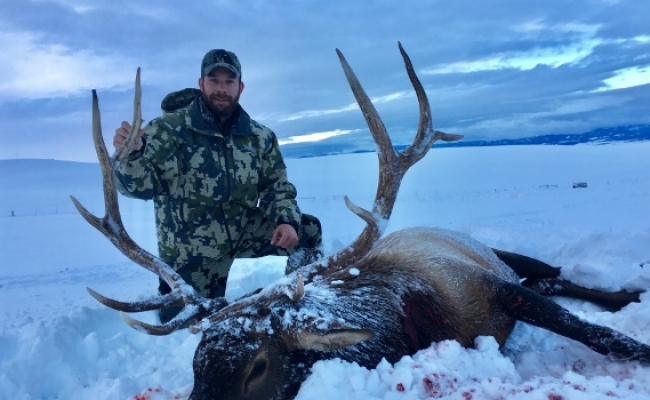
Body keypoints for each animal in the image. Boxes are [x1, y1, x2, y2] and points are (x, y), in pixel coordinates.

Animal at [71, 43, 650, 400]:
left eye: (257, 366)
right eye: (195, 363)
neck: (413, 318)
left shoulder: (482, 282)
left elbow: (601, 336)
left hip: (498, 252)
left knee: (555, 273)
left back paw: (628, 291)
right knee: (550, 278)